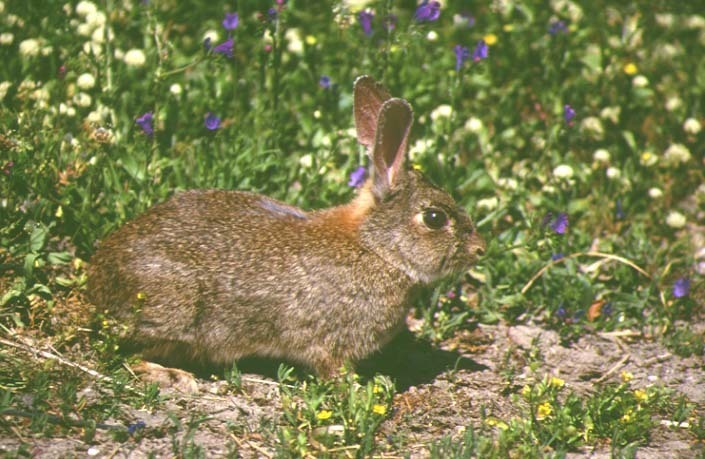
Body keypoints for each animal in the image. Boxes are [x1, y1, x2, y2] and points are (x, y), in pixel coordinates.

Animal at [87, 75, 486, 379]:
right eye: (435, 218)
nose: (480, 249)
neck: (377, 248)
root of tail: (99, 282)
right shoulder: (329, 341)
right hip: (173, 310)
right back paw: (173, 375)